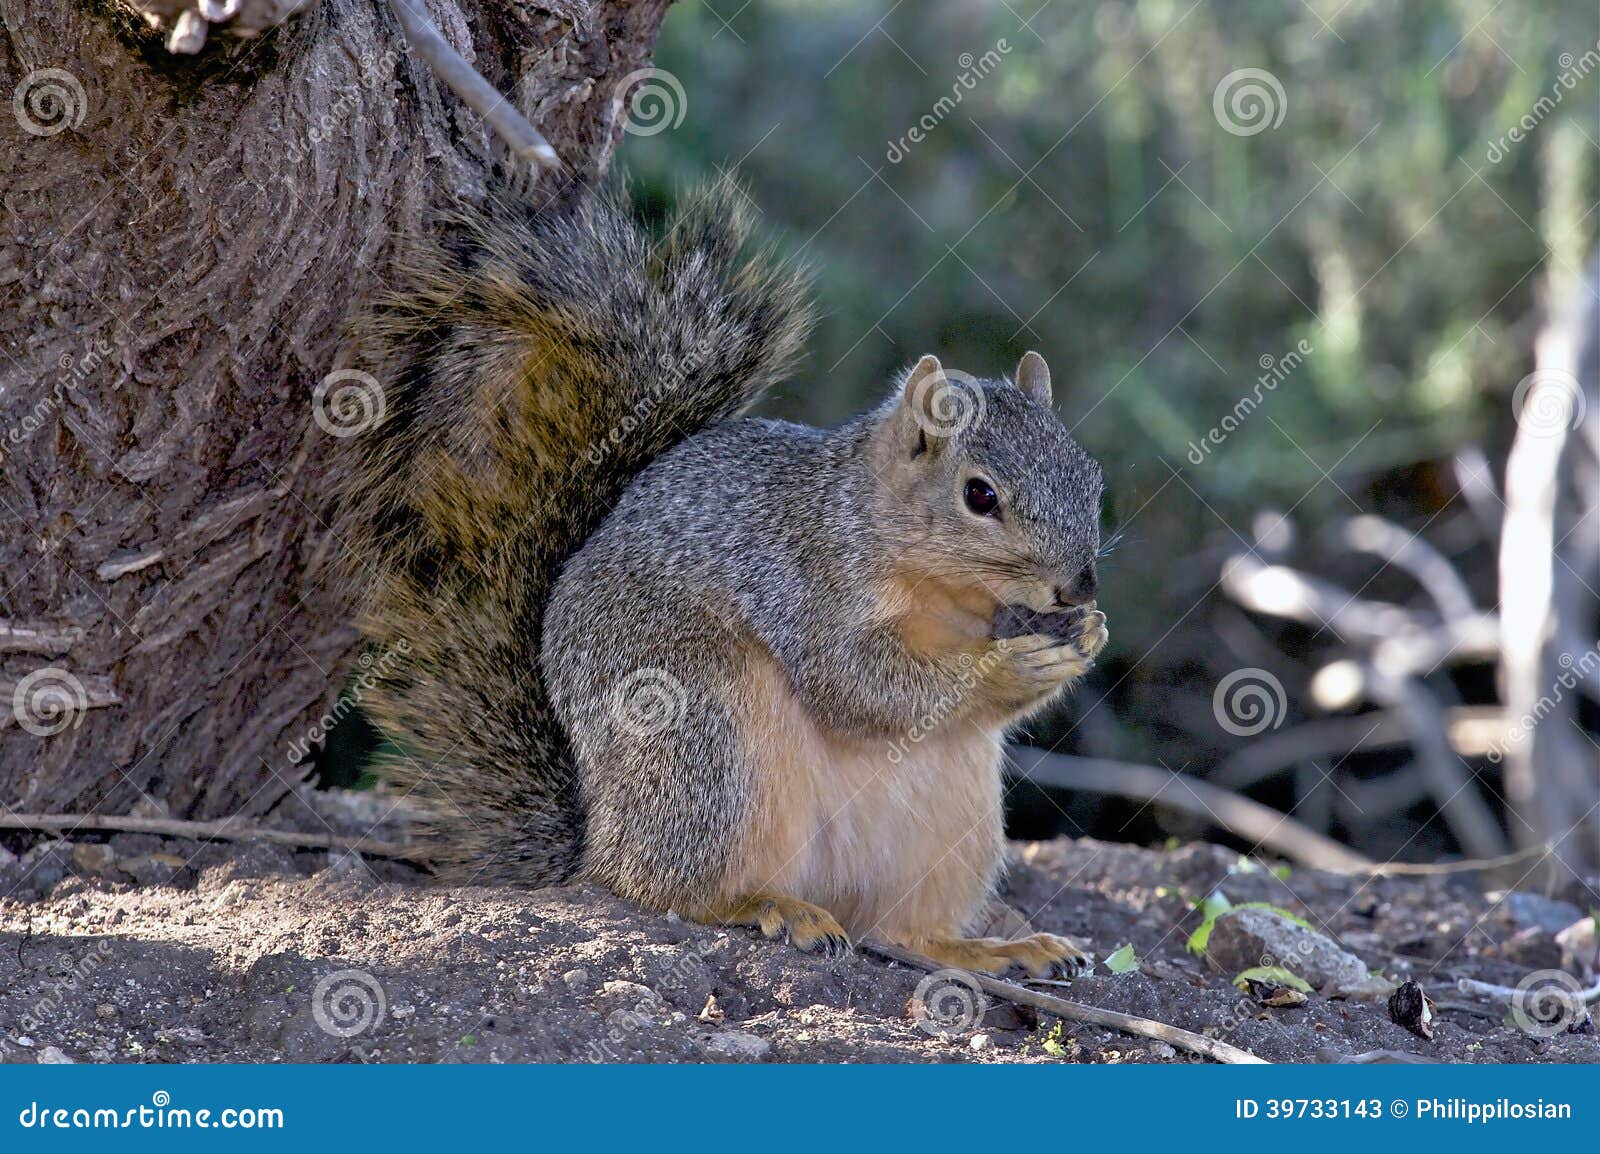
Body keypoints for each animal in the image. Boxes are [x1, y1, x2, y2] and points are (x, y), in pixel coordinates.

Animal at [337, 179, 1109, 978]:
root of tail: (596, 840)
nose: (1079, 588)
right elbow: (856, 682)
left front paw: (1084, 637)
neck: (943, 593)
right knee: (669, 885)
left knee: (899, 931)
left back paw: (995, 948)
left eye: (1091, 476)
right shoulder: (808, 583)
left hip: (952, 820)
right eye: (980, 496)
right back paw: (766, 905)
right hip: (699, 725)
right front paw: (1004, 665)